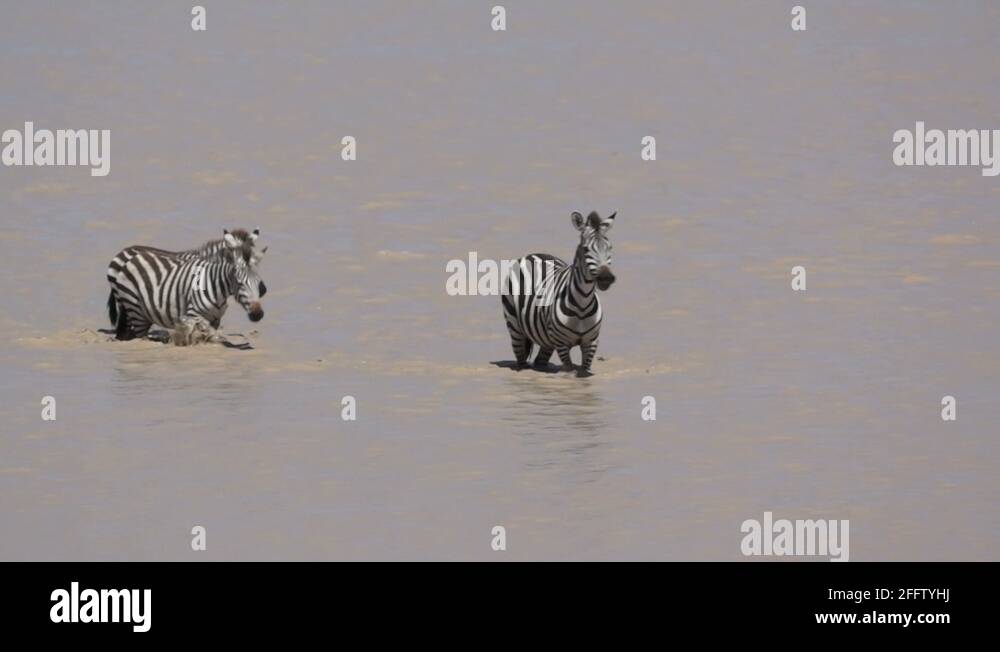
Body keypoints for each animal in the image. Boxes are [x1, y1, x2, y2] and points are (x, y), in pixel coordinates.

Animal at [106, 229, 267, 344]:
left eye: (258, 278)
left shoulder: (215, 318)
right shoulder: (192, 314)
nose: (257, 314)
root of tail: (121, 253)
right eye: (239, 283)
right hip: (132, 307)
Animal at [501, 210, 616, 376]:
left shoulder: (591, 343)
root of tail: (532, 254)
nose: (606, 278)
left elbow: (584, 372)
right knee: (521, 360)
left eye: (610, 248)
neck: (582, 304)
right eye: (585, 249)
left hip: (546, 338)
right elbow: (568, 370)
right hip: (514, 326)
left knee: (540, 361)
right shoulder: (562, 344)